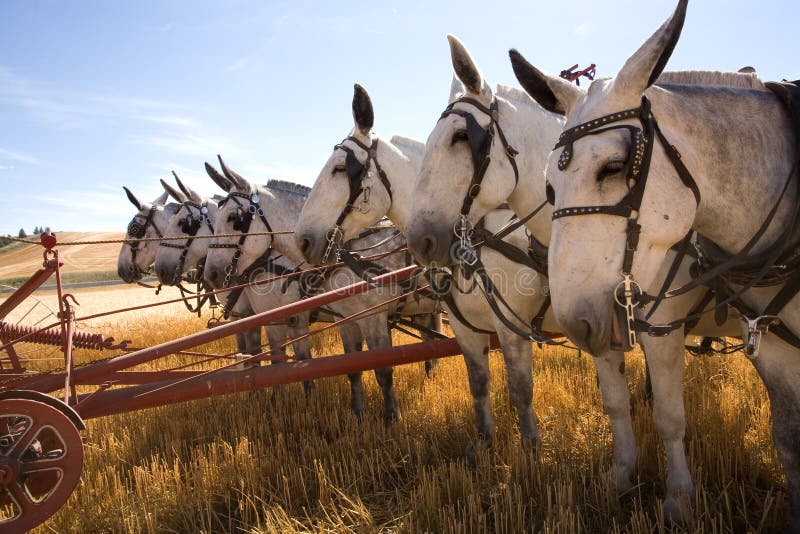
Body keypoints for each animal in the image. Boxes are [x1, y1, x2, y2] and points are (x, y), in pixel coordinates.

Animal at [203, 160, 440, 424]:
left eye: (234, 218)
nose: (210, 273)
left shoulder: (368, 318)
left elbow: (381, 370)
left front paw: (391, 419)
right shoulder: (337, 319)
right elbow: (347, 366)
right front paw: (357, 415)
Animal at [295, 82, 553, 451]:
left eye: (340, 169)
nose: (302, 240)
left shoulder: (510, 325)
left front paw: (391, 418)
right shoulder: (354, 320)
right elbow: (355, 367)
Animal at [405, 34, 742, 522]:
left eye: (459, 138)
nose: (418, 240)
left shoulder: (657, 330)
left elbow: (666, 416)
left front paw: (677, 498)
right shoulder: (592, 324)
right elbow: (609, 402)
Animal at [509, 1, 799, 529]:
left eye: (613, 167)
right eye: (549, 187)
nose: (575, 320)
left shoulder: (666, 330)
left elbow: (669, 417)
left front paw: (679, 498)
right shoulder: (770, 344)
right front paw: (622, 477)